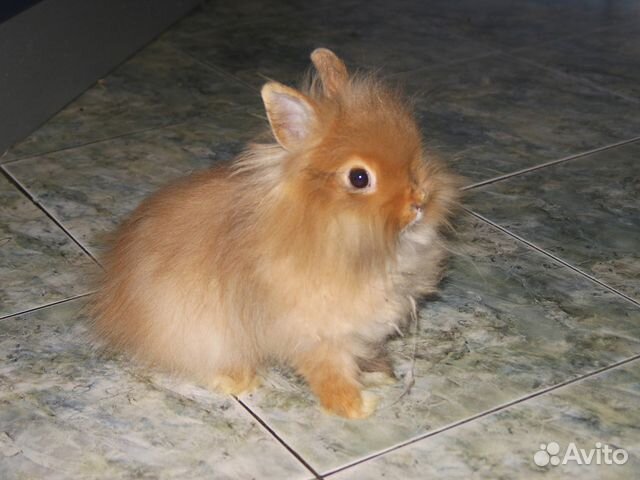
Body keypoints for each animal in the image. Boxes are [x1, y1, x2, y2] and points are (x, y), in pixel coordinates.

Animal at [92, 48, 460, 419]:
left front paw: (377, 375)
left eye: (416, 153)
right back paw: (236, 379)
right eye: (359, 178)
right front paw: (357, 407)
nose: (419, 202)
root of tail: (115, 298)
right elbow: (330, 373)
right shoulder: (315, 333)